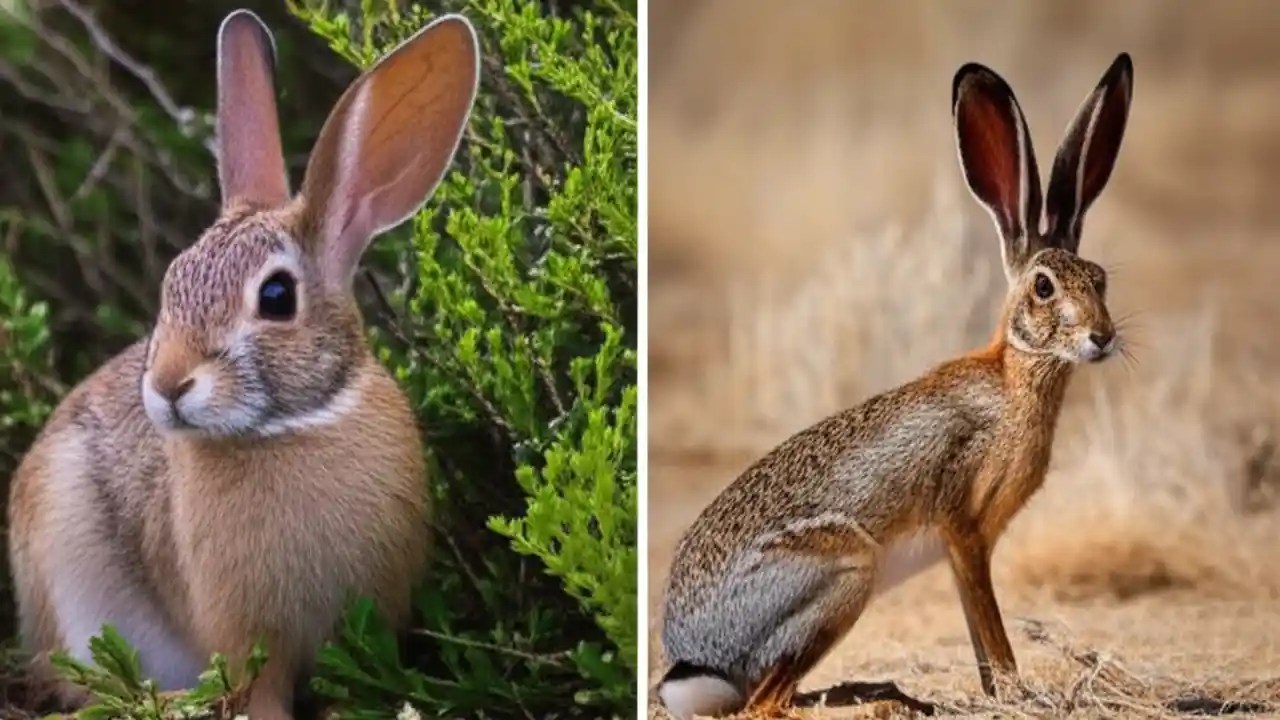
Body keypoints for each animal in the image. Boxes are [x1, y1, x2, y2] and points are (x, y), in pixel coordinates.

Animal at [6, 9, 478, 719]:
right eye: (171, 282)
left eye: (276, 297)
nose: (168, 385)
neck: (295, 427)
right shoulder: (248, 638)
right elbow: (262, 693)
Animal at [657, 53, 1133, 719]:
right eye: (1044, 287)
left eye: (1099, 279)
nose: (1102, 337)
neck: (1015, 377)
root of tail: (695, 660)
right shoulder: (963, 525)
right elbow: (993, 630)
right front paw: (1019, 694)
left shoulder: (967, 549)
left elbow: (979, 636)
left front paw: (997, 694)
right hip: (847, 569)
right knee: (768, 704)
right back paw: (881, 700)